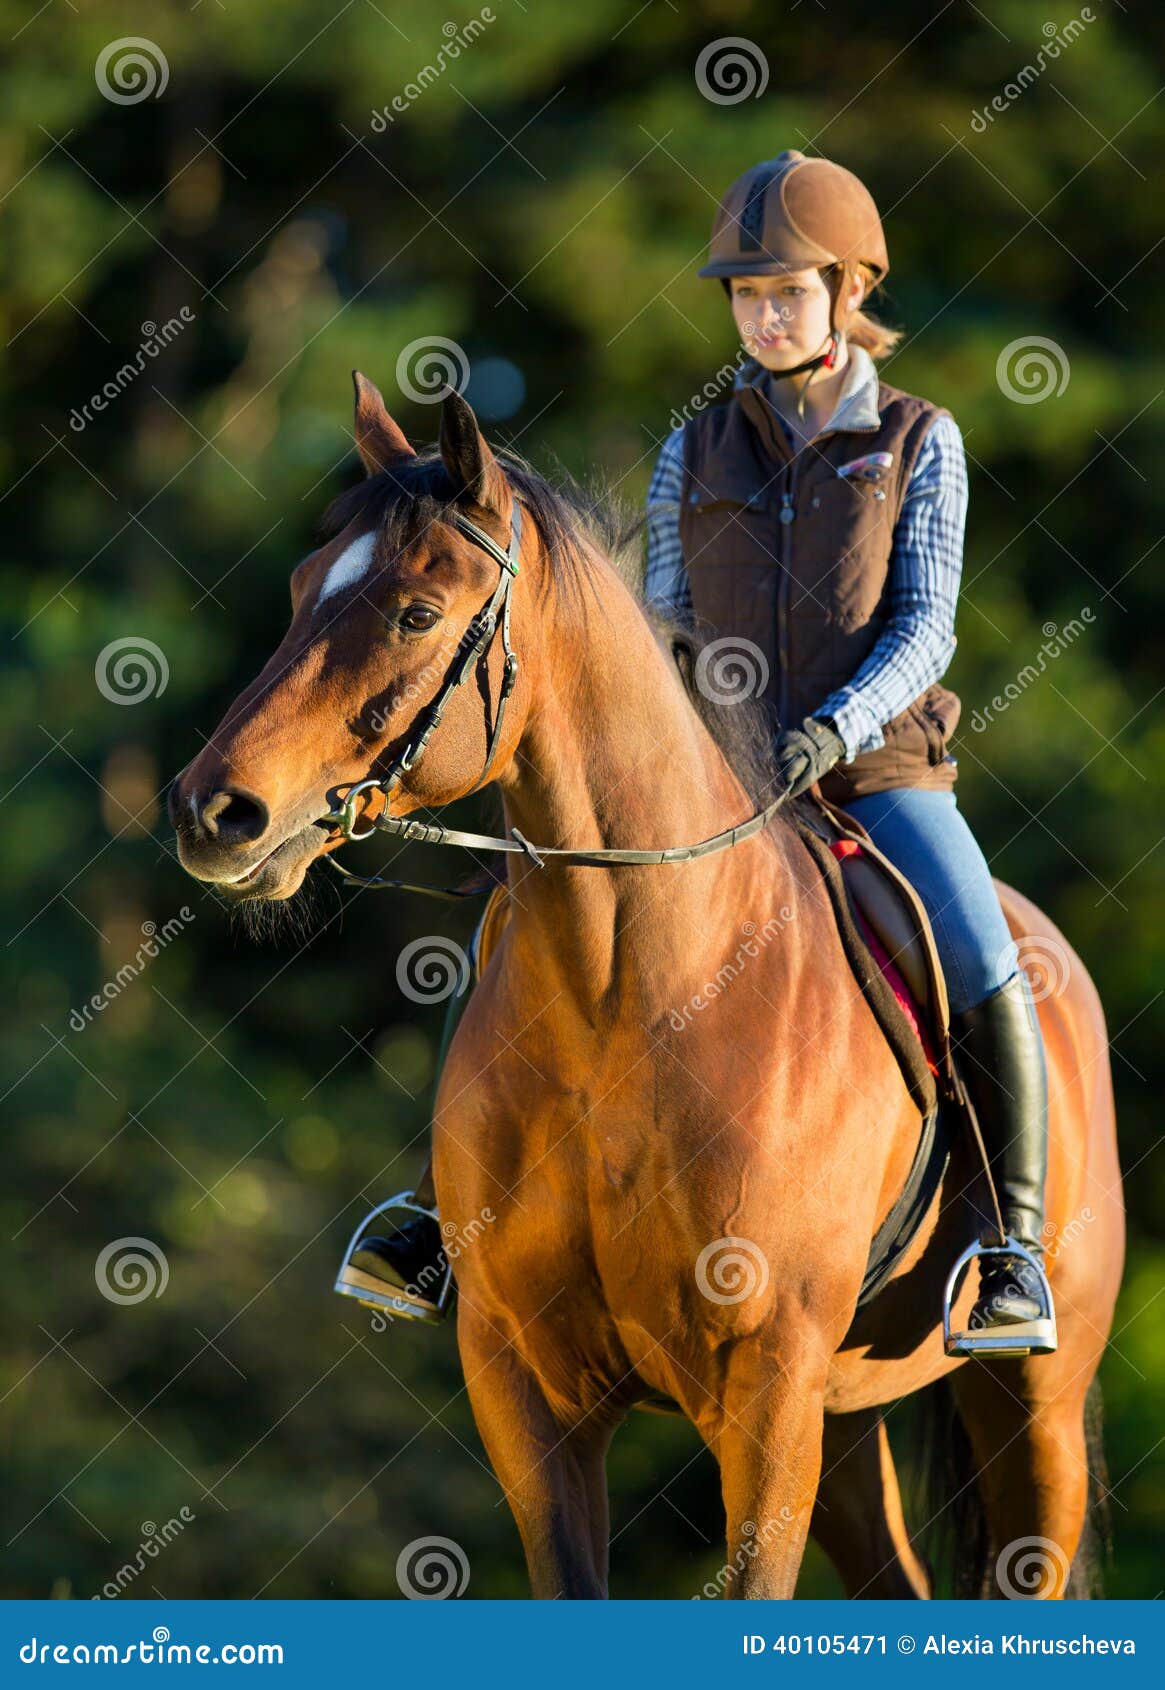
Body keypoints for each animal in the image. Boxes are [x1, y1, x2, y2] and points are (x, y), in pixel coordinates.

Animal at [170, 371, 1124, 1599]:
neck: (625, 1001)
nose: (212, 814)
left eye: (417, 614)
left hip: (1028, 1410)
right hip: (847, 1422)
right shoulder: (528, 1391)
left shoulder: (765, 1397)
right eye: (300, 590)